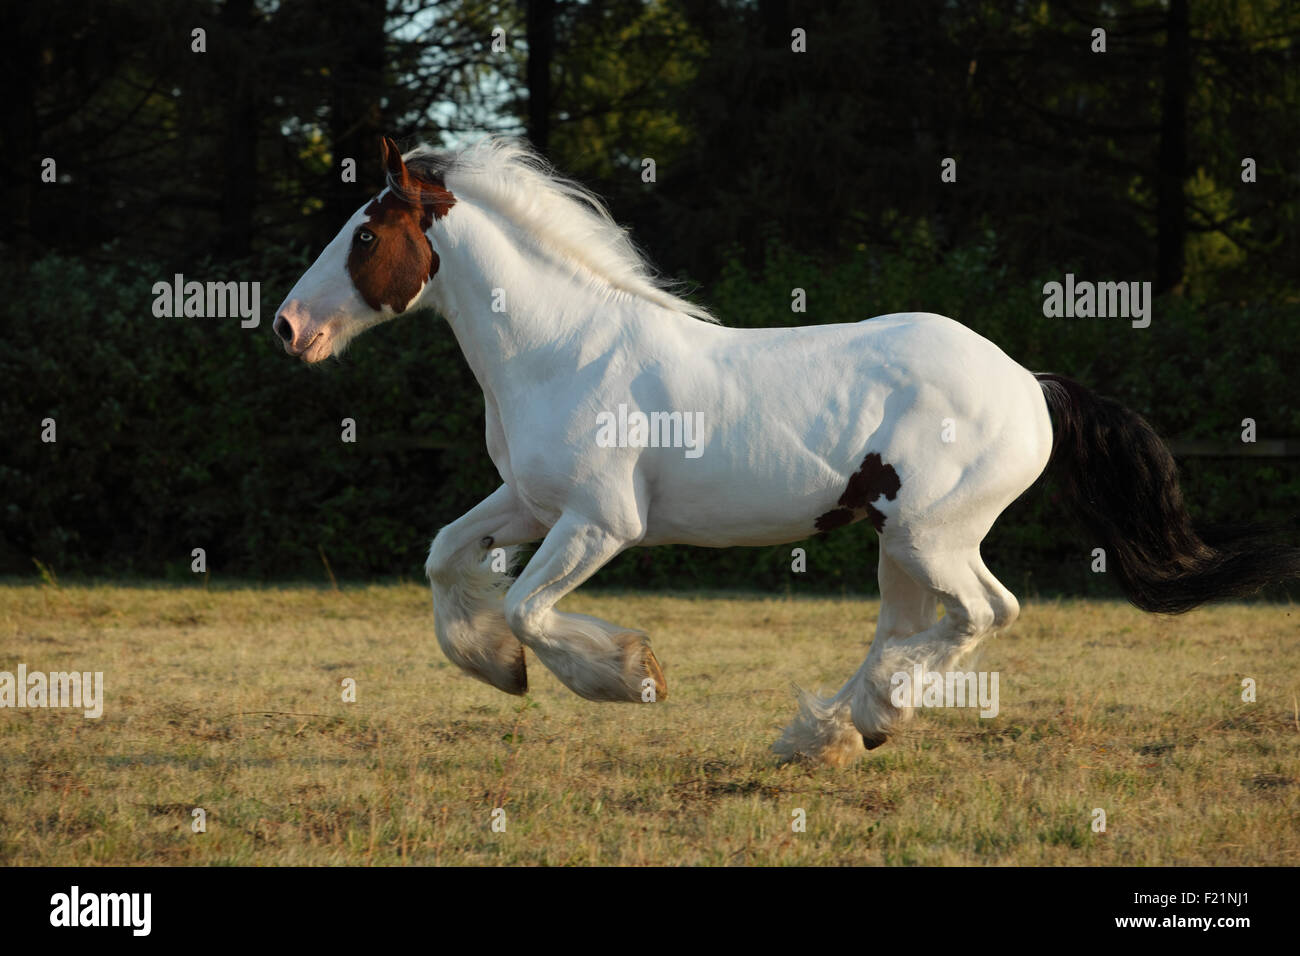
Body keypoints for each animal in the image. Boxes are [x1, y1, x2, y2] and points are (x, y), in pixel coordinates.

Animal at [273, 135, 1300, 766]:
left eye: (365, 233)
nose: (287, 329)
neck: (563, 347)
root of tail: (1030, 385)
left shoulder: (599, 523)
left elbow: (527, 607)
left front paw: (629, 675)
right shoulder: (529, 503)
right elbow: (447, 556)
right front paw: (495, 667)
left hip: (931, 535)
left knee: (982, 613)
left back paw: (862, 719)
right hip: (897, 540)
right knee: (911, 626)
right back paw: (832, 732)